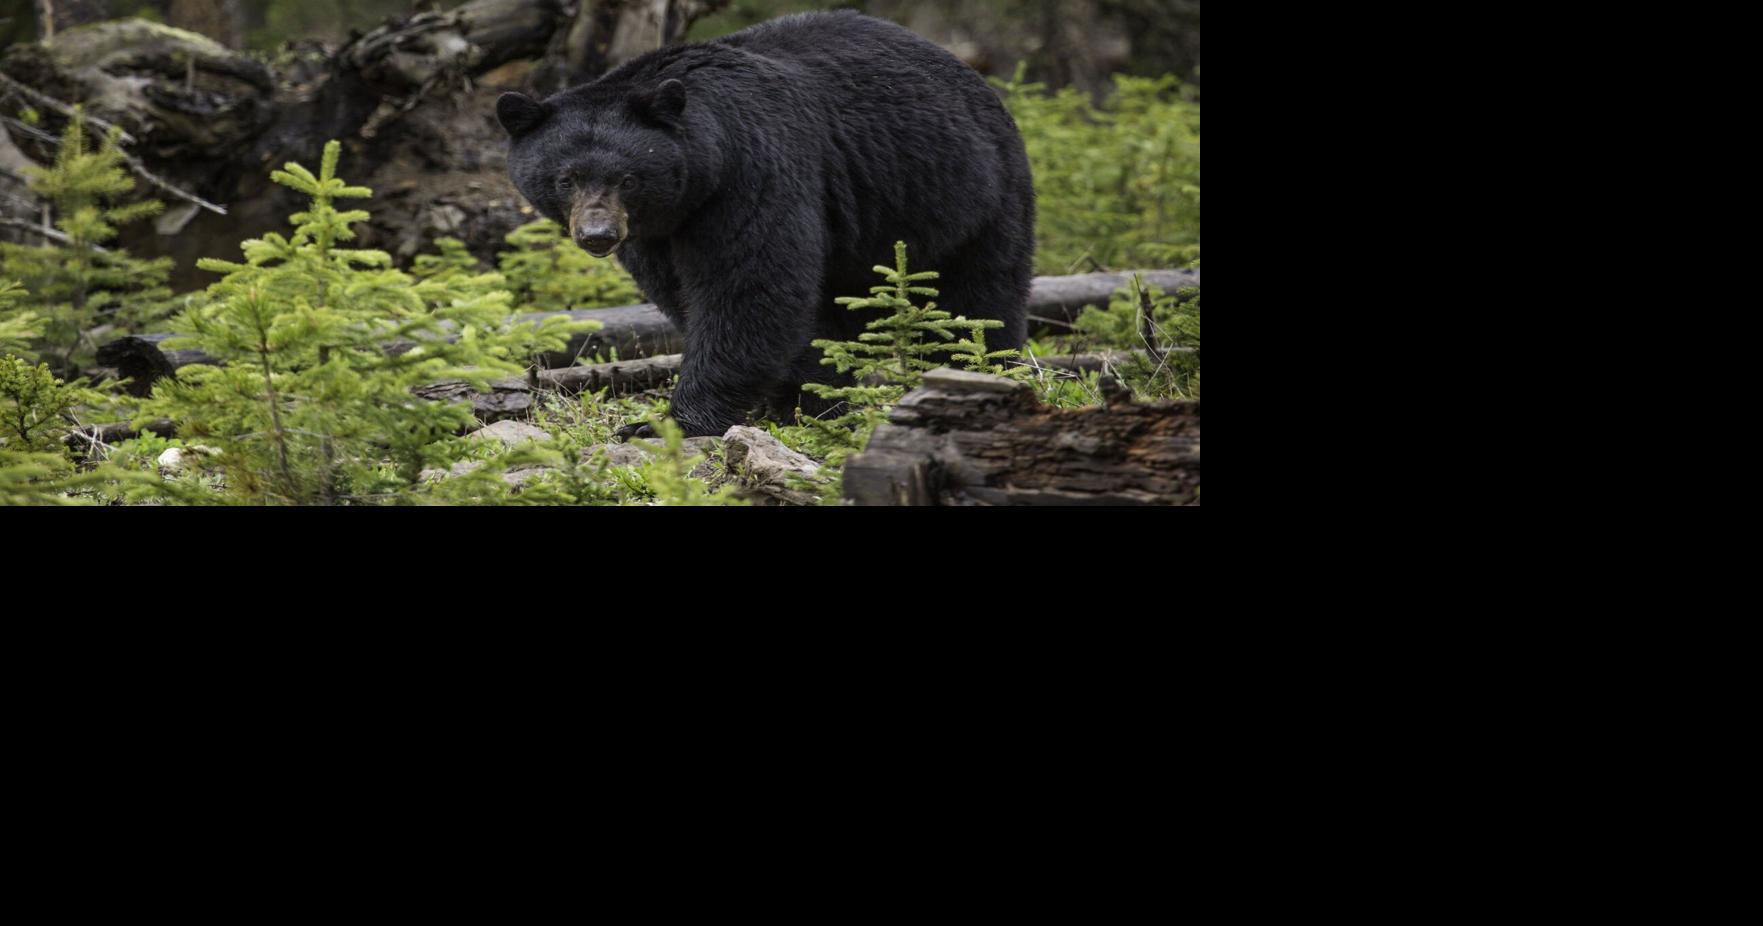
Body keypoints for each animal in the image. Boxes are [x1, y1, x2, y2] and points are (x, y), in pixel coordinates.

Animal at [497, 10, 1035, 437]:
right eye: (566, 177)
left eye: (627, 178)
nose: (598, 236)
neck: (700, 176)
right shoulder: (657, 232)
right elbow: (687, 293)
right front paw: (805, 395)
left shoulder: (752, 172)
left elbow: (749, 289)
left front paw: (667, 422)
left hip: (972, 195)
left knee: (977, 298)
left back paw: (978, 371)